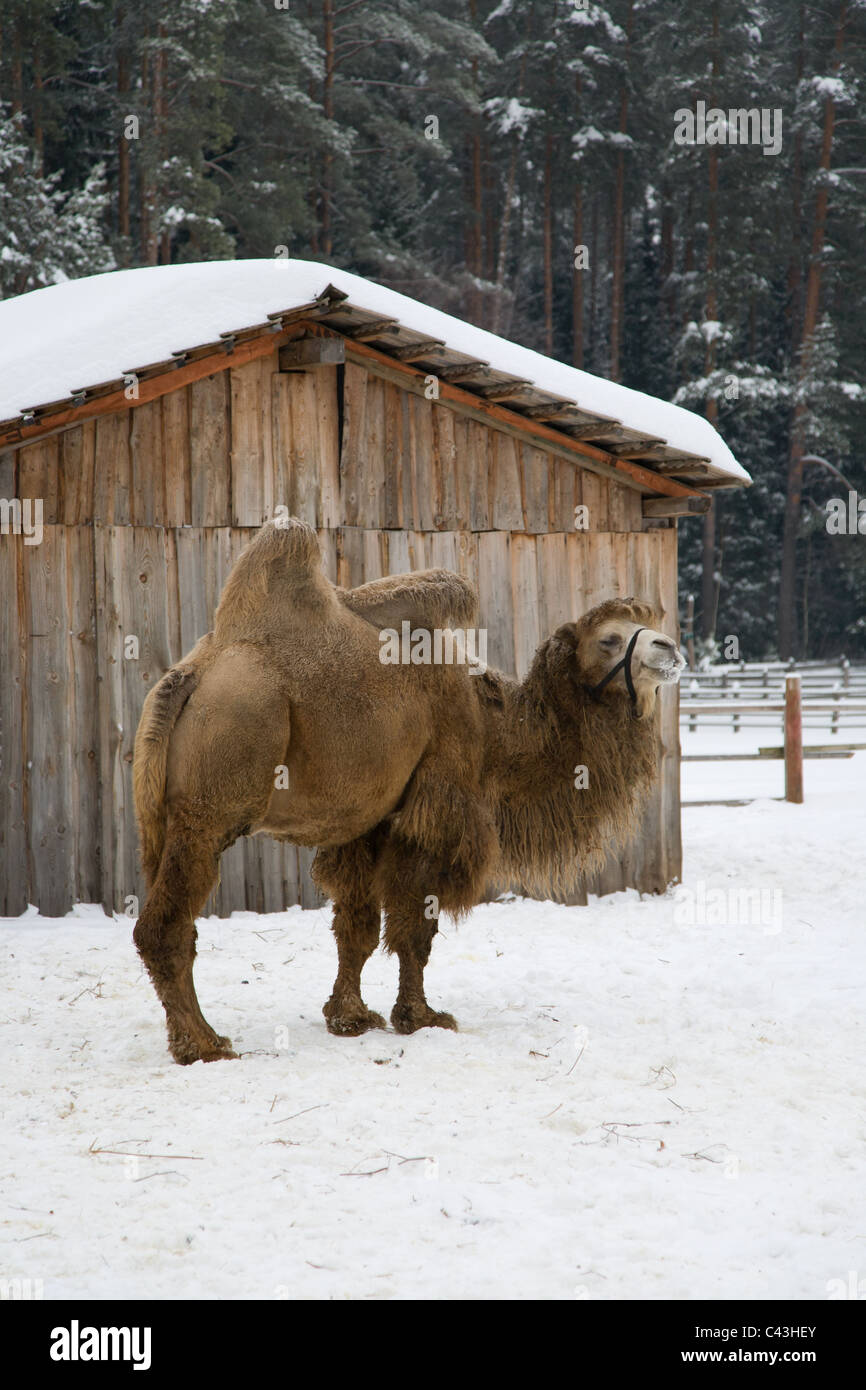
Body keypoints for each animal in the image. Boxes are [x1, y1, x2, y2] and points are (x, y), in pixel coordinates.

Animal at [132, 517, 684, 1064]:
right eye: (609, 639)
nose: (669, 648)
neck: (493, 726)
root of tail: (190, 676)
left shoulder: (366, 819)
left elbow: (354, 927)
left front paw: (350, 1017)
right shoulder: (436, 807)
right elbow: (415, 929)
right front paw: (421, 1018)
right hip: (215, 795)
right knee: (163, 926)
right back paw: (203, 1044)